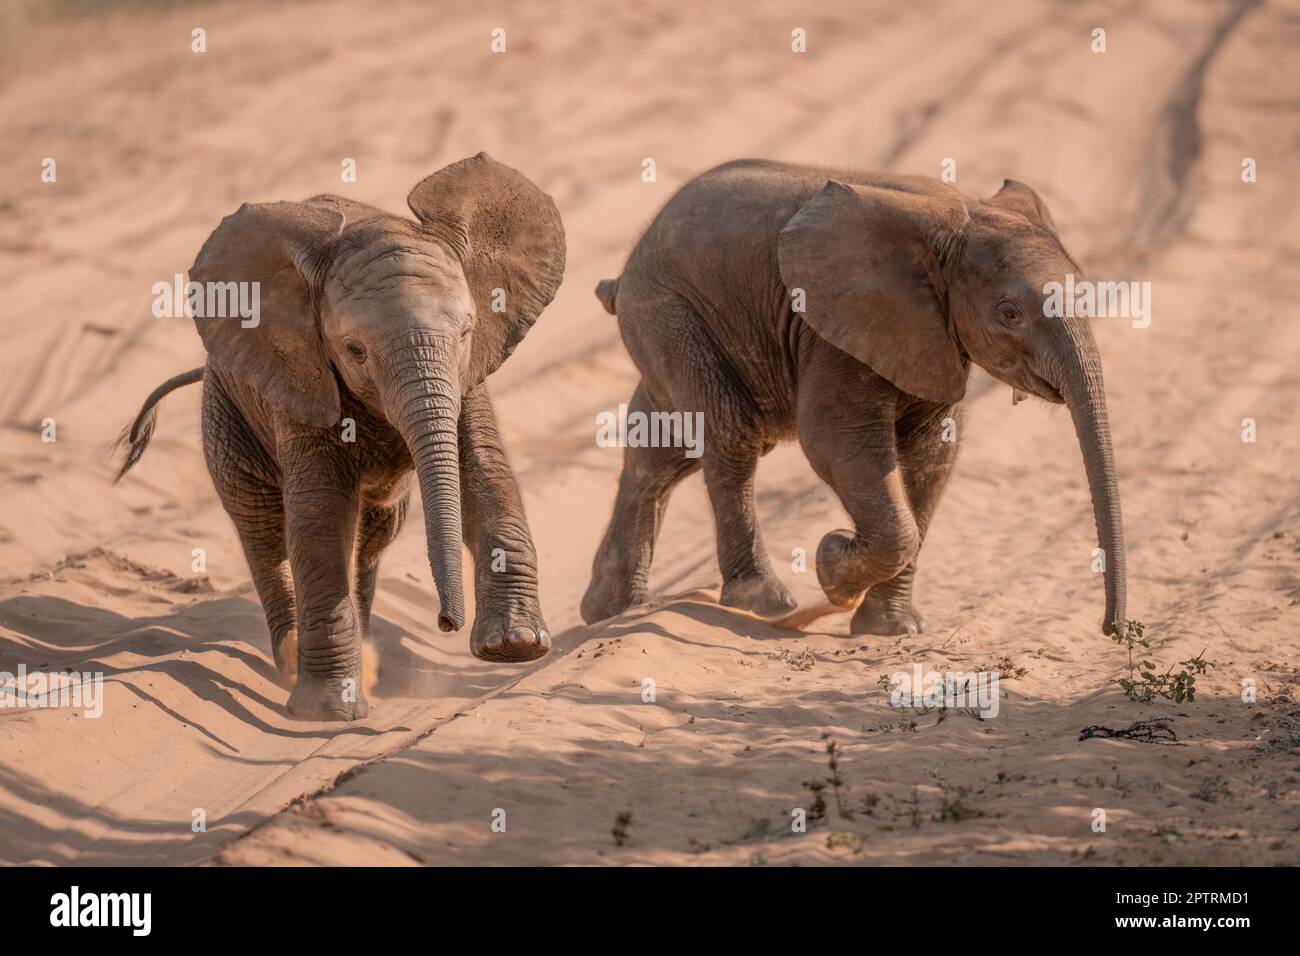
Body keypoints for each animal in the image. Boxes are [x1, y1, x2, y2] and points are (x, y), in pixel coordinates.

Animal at [115, 152, 565, 721]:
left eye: (465, 332)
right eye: (355, 351)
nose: (446, 623)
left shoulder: (468, 377)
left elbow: (486, 472)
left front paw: (515, 647)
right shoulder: (299, 376)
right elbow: (319, 520)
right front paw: (328, 710)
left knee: (375, 535)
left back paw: (366, 653)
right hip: (226, 414)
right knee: (262, 530)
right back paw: (291, 660)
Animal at [581, 159, 1126, 638]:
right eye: (1009, 312)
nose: (1111, 630)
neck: (962, 212)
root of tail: (627, 269)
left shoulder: (929, 332)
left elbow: (932, 455)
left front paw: (891, 629)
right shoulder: (835, 327)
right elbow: (836, 437)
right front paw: (831, 565)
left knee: (664, 448)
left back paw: (613, 611)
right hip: (667, 311)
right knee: (730, 433)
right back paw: (763, 601)